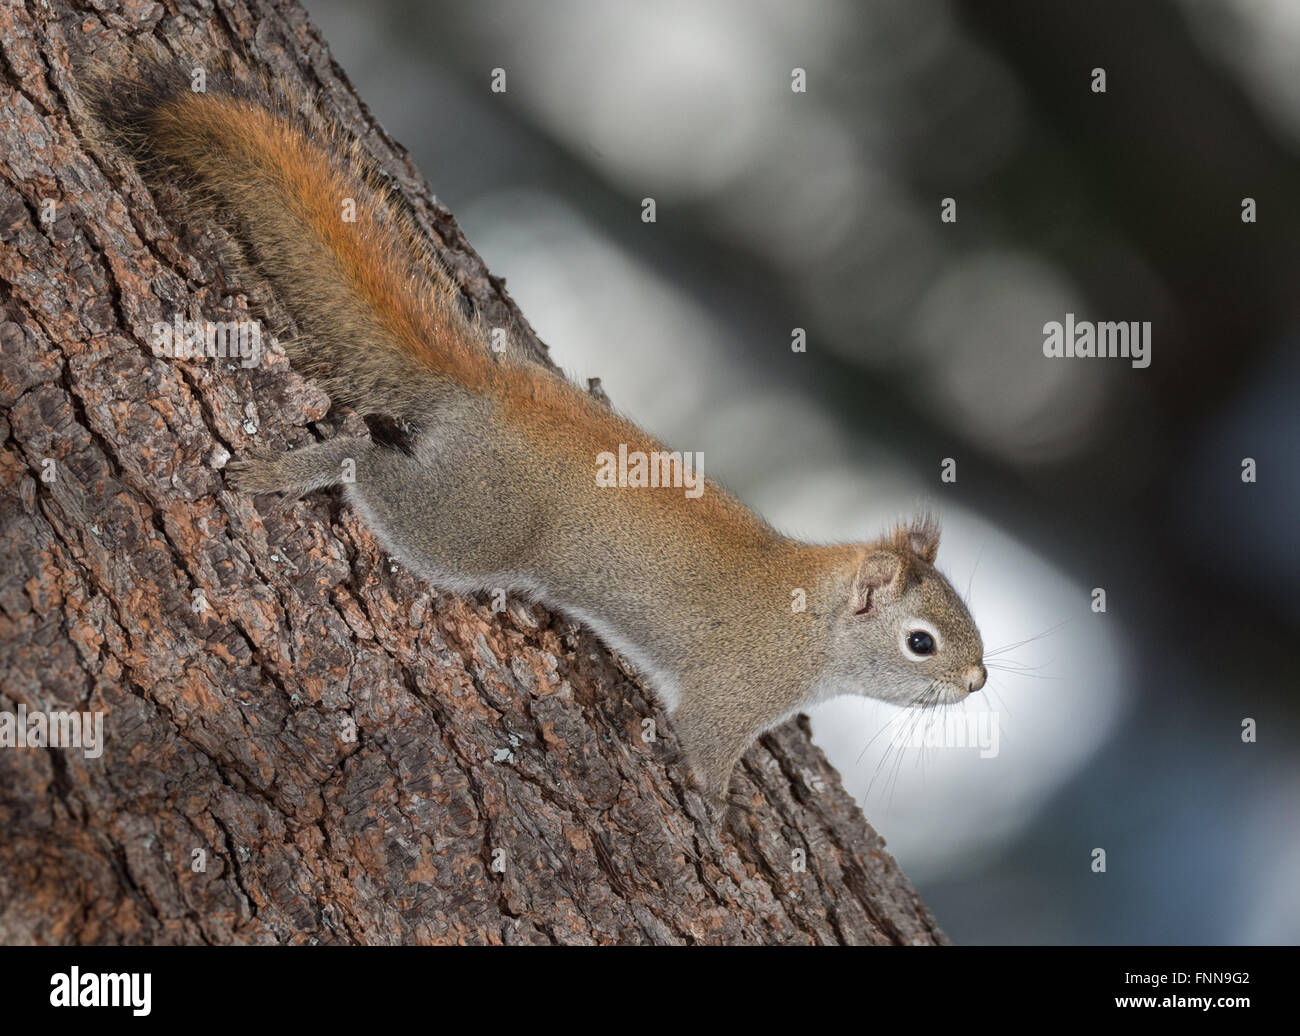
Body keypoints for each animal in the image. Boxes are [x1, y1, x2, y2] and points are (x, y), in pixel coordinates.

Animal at [88, 55, 987, 812]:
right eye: (921, 642)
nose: (979, 682)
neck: (813, 621)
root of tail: (494, 393)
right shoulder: (731, 695)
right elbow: (705, 752)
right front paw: (716, 807)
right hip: (469, 527)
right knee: (365, 466)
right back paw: (290, 472)